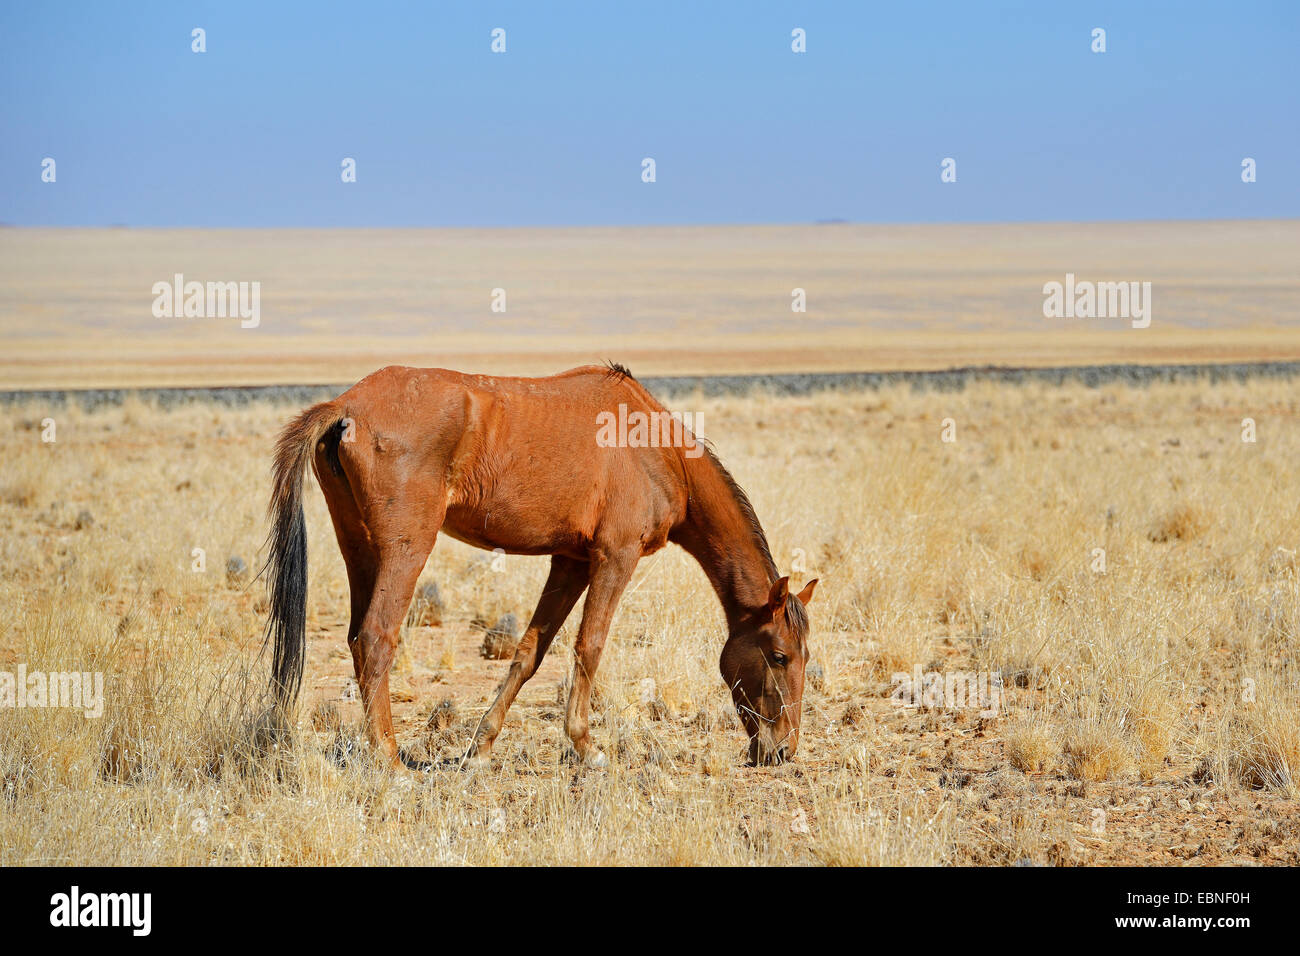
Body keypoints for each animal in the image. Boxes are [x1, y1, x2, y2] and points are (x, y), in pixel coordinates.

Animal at [263, 363, 817, 768]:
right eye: (781, 656)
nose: (783, 751)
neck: (653, 448)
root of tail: (345, 406)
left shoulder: (570, 562)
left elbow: (530, 652)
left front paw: (481, 747)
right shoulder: (614, 557)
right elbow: (590, 647)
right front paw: (588, 748)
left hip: (358, 546)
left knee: (358, 637)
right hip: (406, 549)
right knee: (377, 637)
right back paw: (391, 761)